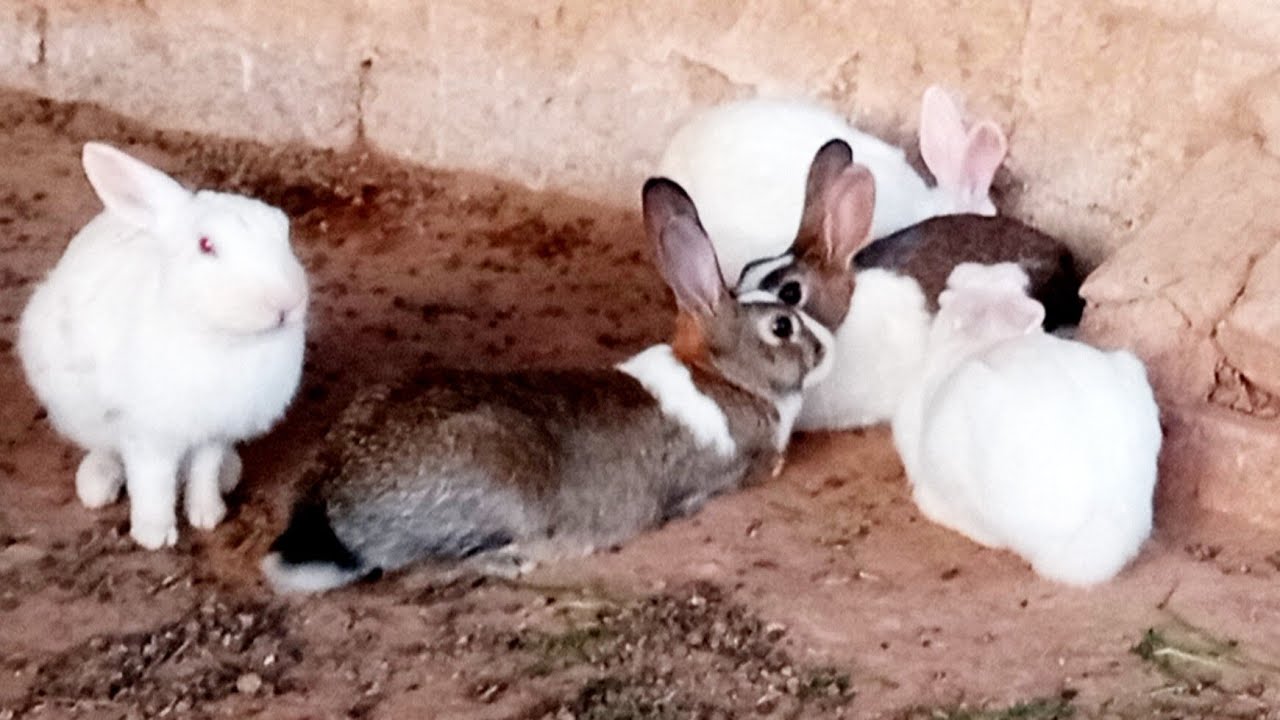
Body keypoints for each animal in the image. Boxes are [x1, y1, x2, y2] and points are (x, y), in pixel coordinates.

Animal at [17, 142, 309, 550]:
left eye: (283, 230)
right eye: (206, 245)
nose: (286, 304)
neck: (221, 336)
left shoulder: (213, 433)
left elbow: (203, 471)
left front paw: (208, 516)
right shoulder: (148, 436)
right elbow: (151, 483)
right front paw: (154, 535)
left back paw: (229, 473)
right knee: (106, 450)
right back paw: (97, 485)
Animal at [259, 176, 836, 594]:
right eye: (782, 326)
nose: (825, 350)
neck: (724, 376)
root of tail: (333, 509)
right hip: (496, 484)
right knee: (411, 571)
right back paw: (510, 563)